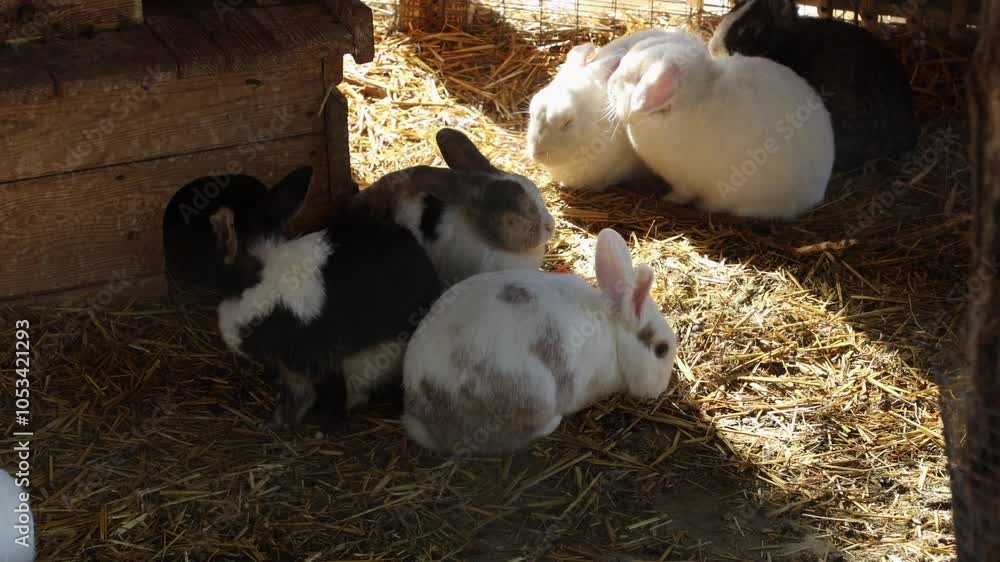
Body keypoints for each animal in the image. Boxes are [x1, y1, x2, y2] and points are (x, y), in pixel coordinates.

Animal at [207, 166, 444, 435]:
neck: (261, 280)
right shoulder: (290, 364)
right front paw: (279, 422)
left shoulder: (313, 359)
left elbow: (316, 393)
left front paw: (319, 427)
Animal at [605, 36, 835, 219]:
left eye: (636, 78)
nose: (610, 81)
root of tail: (818, 193)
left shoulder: (683, 180)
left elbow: (682, 193)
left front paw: (668, 199)